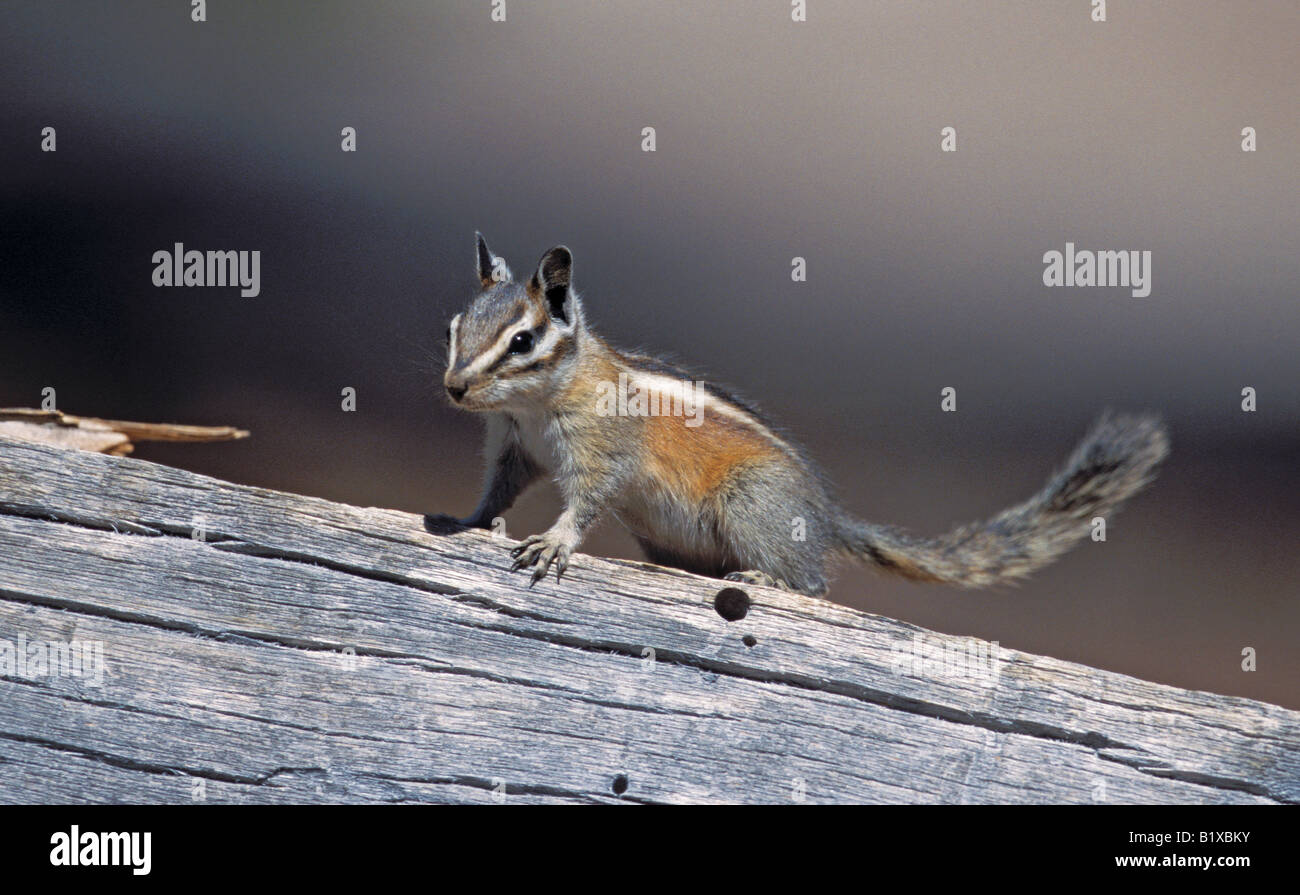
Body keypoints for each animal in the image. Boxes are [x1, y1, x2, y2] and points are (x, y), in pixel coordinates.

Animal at [426, 233, 1170, 596]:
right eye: (454, 327)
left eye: (523, 342)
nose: (456, 388)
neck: (537, 402)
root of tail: (826, 517)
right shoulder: (514, 447)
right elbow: (500, 487)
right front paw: (469, 520)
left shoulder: (602, 447)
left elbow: (588, 499)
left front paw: (554, 541)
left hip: (750, 501)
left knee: (811, 584)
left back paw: (764, 577)